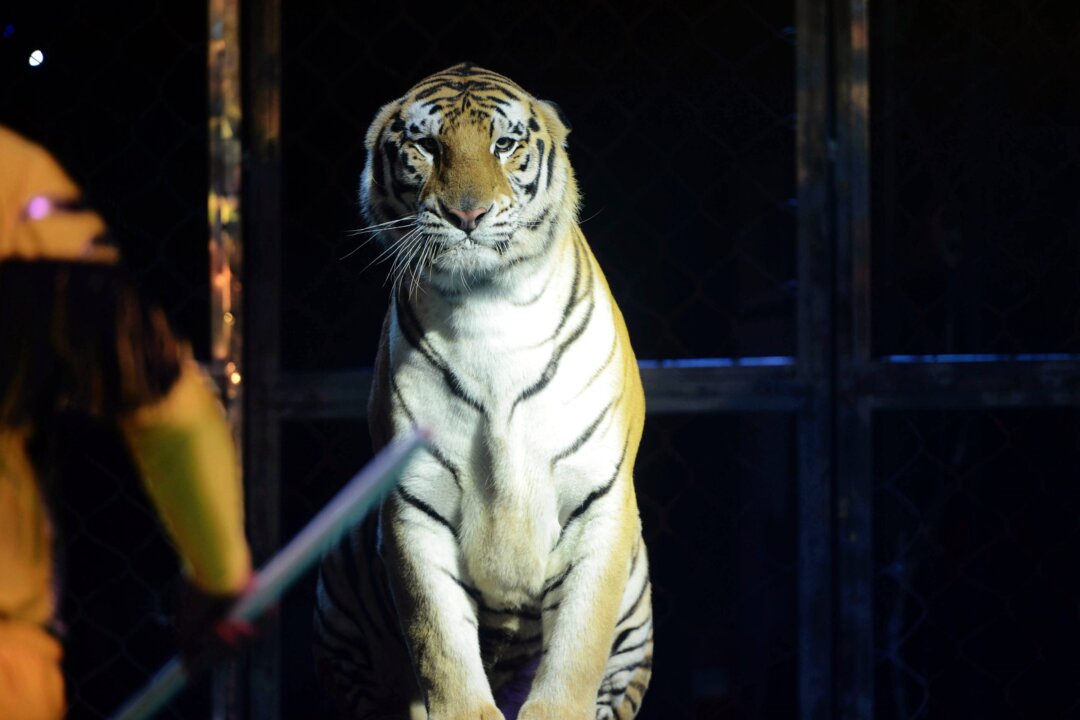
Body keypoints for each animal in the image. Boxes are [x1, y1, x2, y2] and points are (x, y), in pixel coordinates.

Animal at [313, 62, 653, 720]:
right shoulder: (411, 504)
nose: (466, 215)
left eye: (504, 145)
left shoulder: (599, 499)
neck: (489, 307)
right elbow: (439, 642)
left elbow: (577, 649)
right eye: (425, 146)